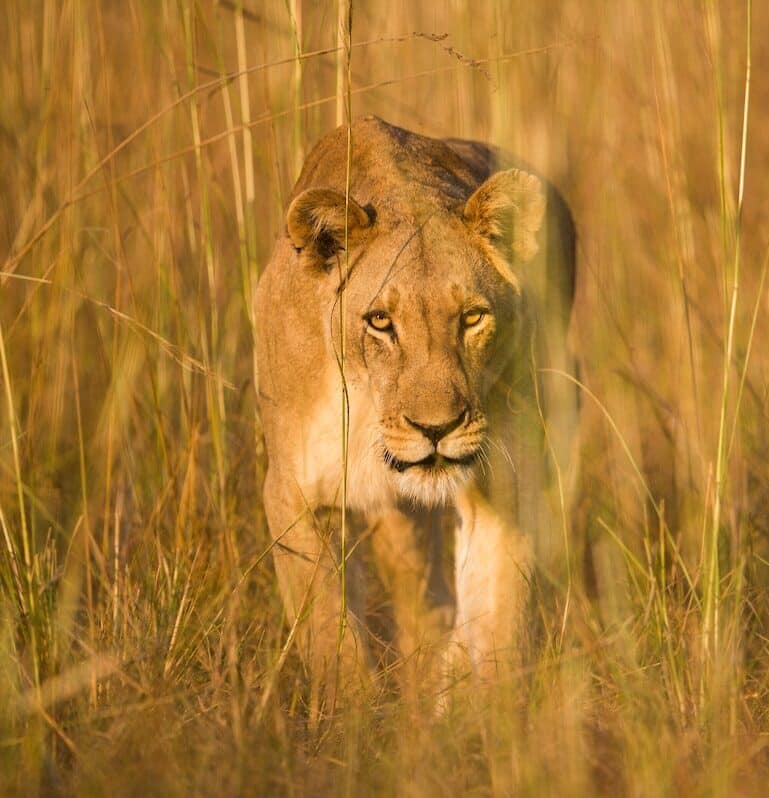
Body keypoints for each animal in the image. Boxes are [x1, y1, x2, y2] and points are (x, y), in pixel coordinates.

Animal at [254, 116, 577, 712]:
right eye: (381, 321)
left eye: (472, 318)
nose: (436, 429)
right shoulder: (293, 493)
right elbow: (328, 633)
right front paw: (352, 720)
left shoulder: (510, 482)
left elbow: (497, 615)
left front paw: (488, 720)